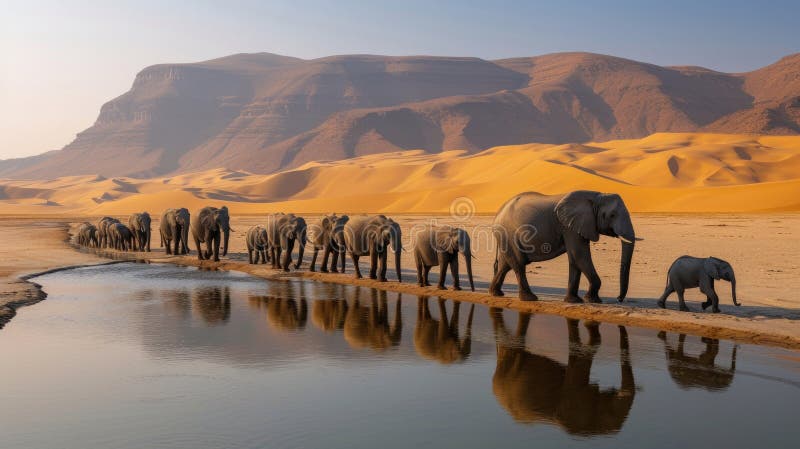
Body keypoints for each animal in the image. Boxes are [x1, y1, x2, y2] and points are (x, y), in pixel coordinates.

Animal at [489, 190, 636, 303]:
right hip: (508, 234)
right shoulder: (569, 227)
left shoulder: (578, 226)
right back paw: (529, 298)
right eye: (612, 215)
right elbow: (579, 255)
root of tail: (498, 213)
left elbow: (575, 259)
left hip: (506, 238)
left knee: (505, 264)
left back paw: (495, 293)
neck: (596, 196)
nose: (619, 299)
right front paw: (592, 300)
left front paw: (574, 301)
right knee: (519, 264)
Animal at [491, 309, 636, 436]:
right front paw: (590, 324)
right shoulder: (576, 402)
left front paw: (590, 324)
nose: (620, 325)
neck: (594, 429)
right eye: (612, 413)